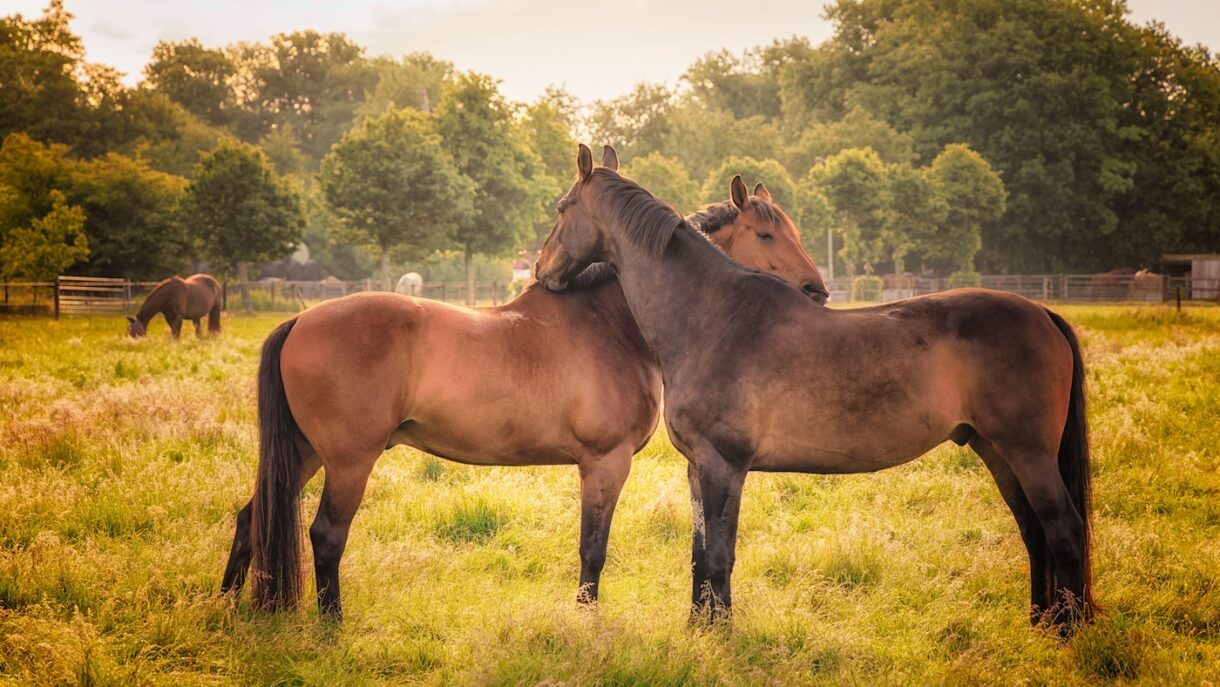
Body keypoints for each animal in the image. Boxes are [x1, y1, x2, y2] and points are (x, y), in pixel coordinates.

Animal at [221, 149, 828, 618]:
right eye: (766, 233)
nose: (816, 292)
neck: (610, 321)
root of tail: (300, 321)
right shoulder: (605, 463)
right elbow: (592, 550)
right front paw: (585, 623)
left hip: (304, 452)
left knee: (254, 517)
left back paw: (227, 608)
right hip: (348, 460)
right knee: (325, 537)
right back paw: (331, 626)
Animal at [535, 144, 1095, 636]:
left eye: (562, 208)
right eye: (766, 235)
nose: (542, 271)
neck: (712, 314)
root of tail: (1042, 312)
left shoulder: (723, 464)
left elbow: (720, 555)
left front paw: (720, 636)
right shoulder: (698, 466)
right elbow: (699, 555)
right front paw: (698, 629)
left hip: (1027, 453)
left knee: (1063, 529)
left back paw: (1066, 634)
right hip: (996, 451)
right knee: (1034, 532)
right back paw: (1040, 624)